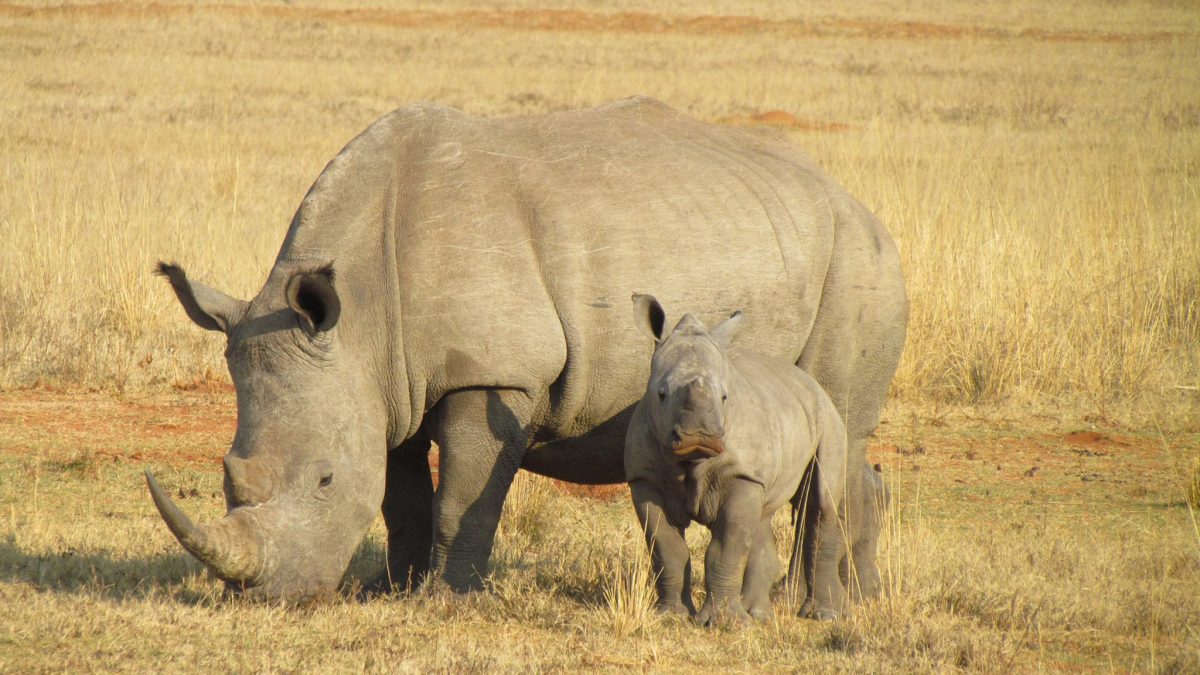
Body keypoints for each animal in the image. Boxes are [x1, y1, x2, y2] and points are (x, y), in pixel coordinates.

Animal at [624, 295, 850, 625]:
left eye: (724, 397)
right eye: (661, 394)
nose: (699, 435)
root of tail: (810, 382)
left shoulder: (741, 473)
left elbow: (726, 547)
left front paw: (724, 623)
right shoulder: (644, 477)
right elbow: (667, 549)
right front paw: (670, 617)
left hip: (828, 419)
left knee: (821, 501)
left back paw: (824, 616)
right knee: (762, 518)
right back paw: (760, 615)